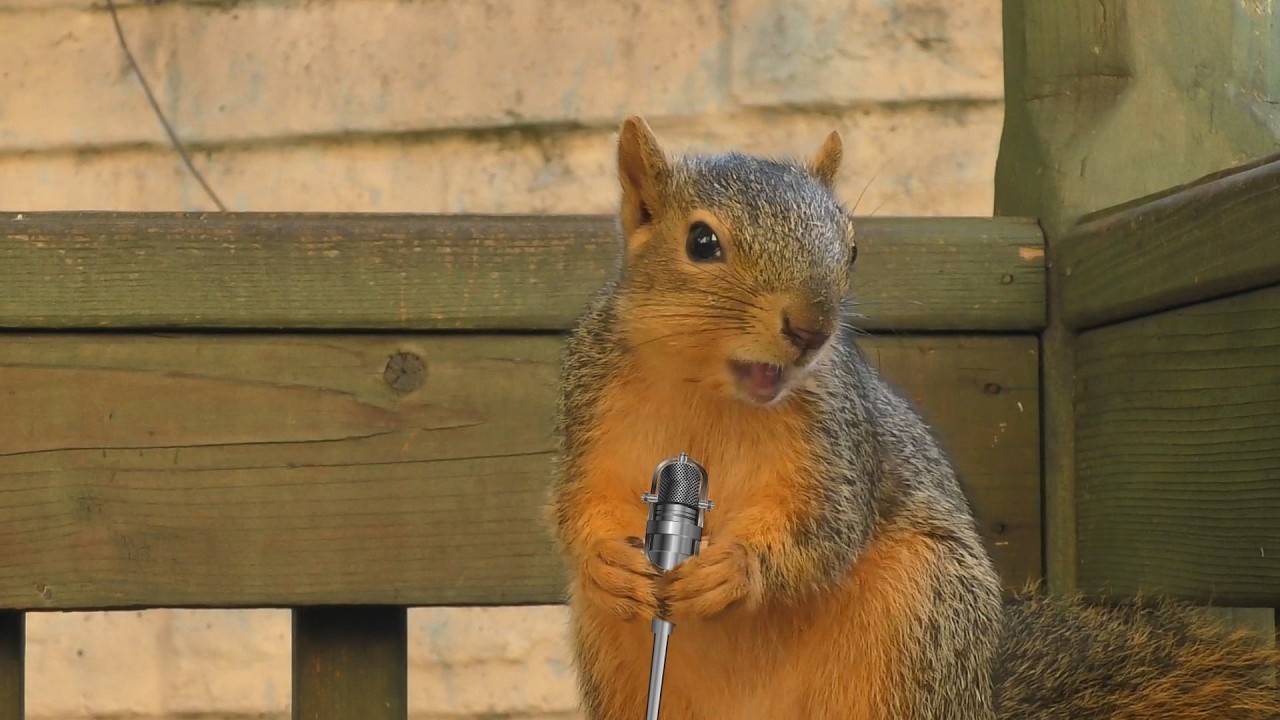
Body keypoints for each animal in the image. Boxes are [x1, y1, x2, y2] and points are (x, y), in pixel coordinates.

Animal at [547, 115, 1280, 720]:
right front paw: (607, 561)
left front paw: (735, 569)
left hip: (919, 608)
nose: (812, 329)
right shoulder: (590, 408)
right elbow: (578, 506)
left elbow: (828, 530)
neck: (710, 392)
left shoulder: (840, 442)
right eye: (701, 242)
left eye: (851, 248)